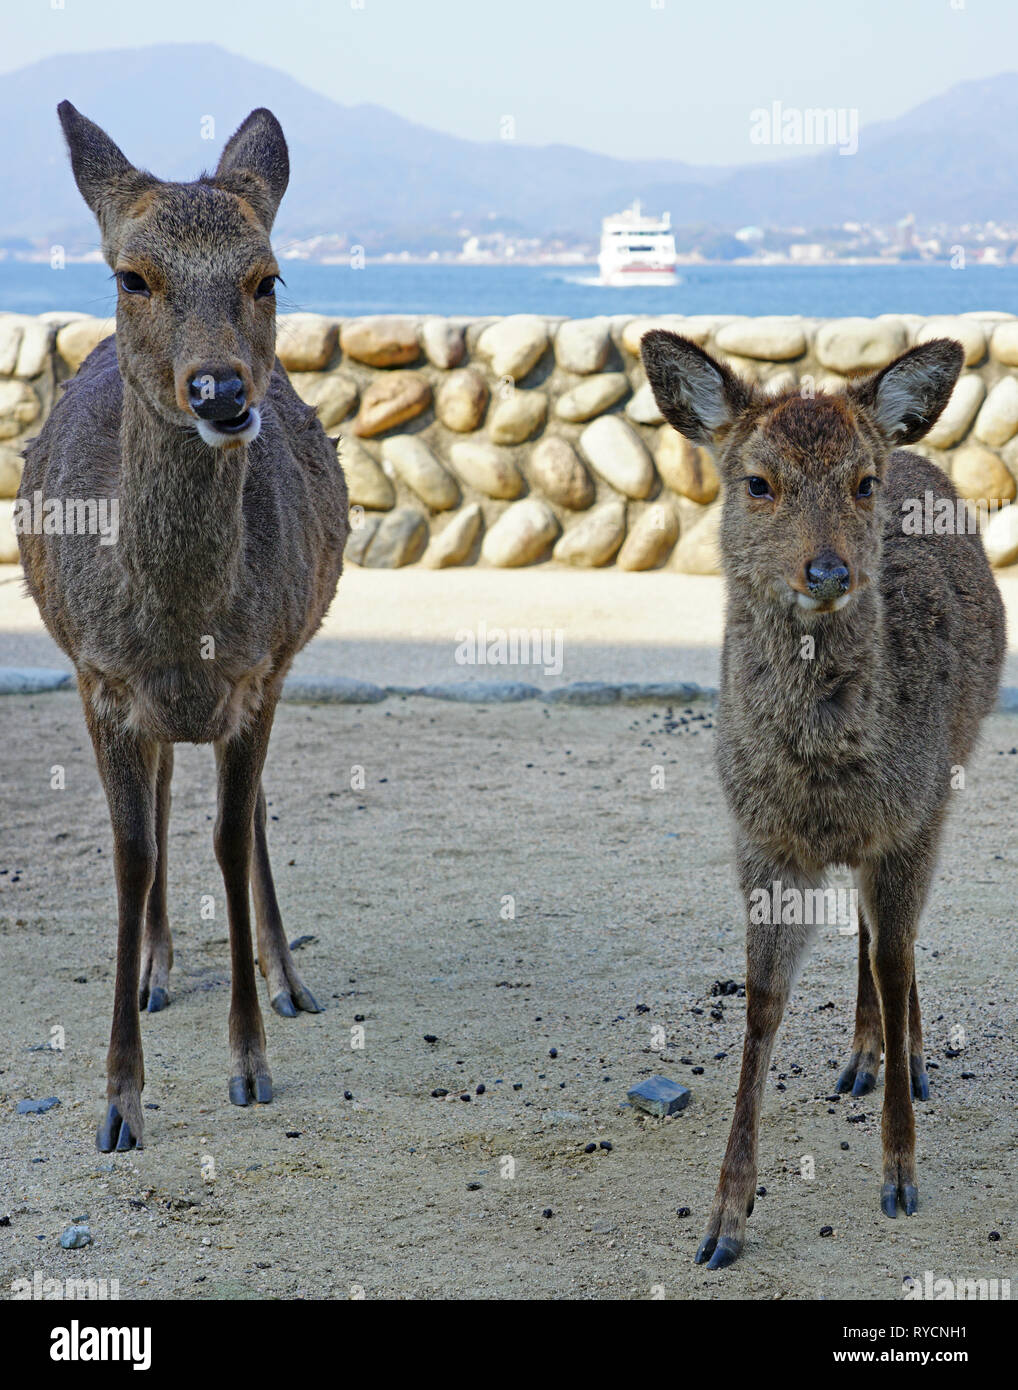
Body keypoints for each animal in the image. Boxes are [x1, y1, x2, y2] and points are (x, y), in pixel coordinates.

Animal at [17, 103, 348, 1152]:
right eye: (132, 276)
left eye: (266, 276)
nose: (221, 391)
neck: (184, 626)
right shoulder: (101, 677)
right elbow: (132, 856)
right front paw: (120, 1100)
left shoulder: (256, 674)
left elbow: (230, 839)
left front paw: (250, 1061)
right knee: (162, 804)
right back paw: (158, 970)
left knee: (248, 813)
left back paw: (288, 979)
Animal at [641, 330, 1004, 1269]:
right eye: (757, 482)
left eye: (862, 483)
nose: (829, 568)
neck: (827, 781)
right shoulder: (761, 841)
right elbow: (762, 1004)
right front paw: (724, 1219)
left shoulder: (911, 821)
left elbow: (897, 957)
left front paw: (900, 1175)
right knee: (871, 934)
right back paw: (862, 1055)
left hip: (950, 776)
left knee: (890, 941)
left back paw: (904, 1056)